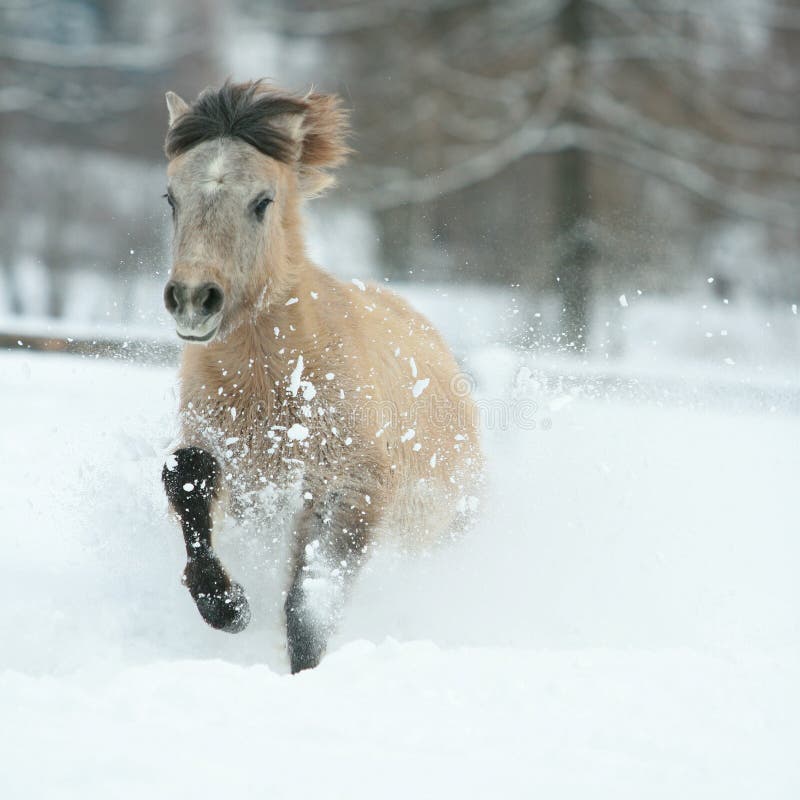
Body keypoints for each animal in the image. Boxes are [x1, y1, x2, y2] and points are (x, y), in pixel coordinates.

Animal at [160, 80, 483, 673]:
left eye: (262, 201)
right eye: (171, 198)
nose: (194, 300)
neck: (276, 384)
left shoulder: (352, 487)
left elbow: (307, 608)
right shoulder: (239, 474)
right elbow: (185, 474)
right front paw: (228, 605)